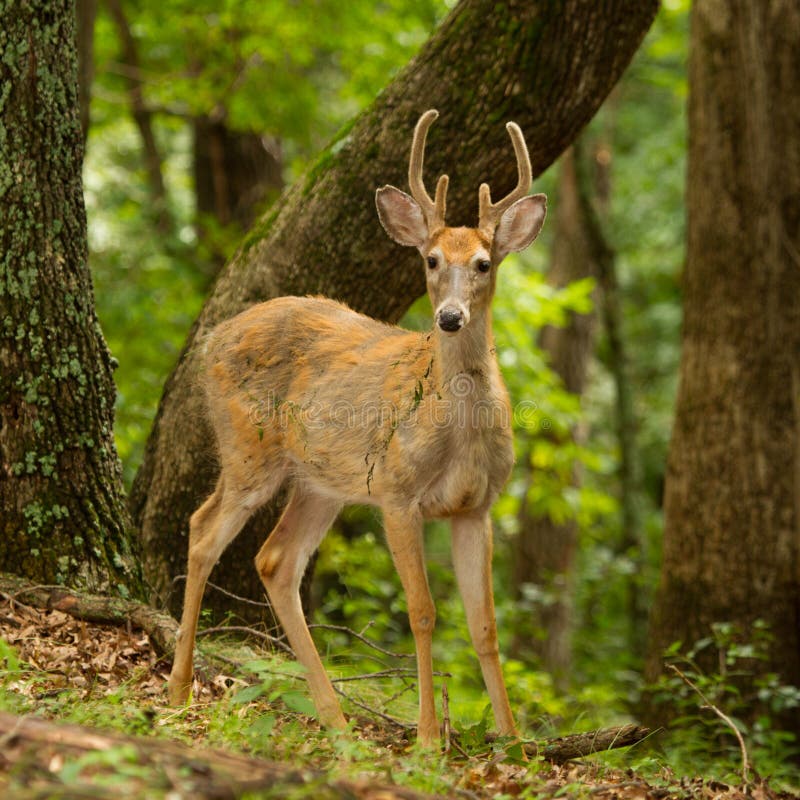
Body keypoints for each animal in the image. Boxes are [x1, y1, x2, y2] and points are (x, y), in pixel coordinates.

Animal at [167, 109, 547, 747]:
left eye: (484, 263)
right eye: (430, 260)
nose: (450, 317)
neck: (459, 437)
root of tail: (212, 337)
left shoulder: (477, 507)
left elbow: (485, 626)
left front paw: (516, 743)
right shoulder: (397, 493)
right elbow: (423, 613)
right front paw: (428, 738)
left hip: (321, 483)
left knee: (275, 560)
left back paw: (336, 719)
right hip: (248, 449)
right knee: (202, 528)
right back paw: (178, 688)